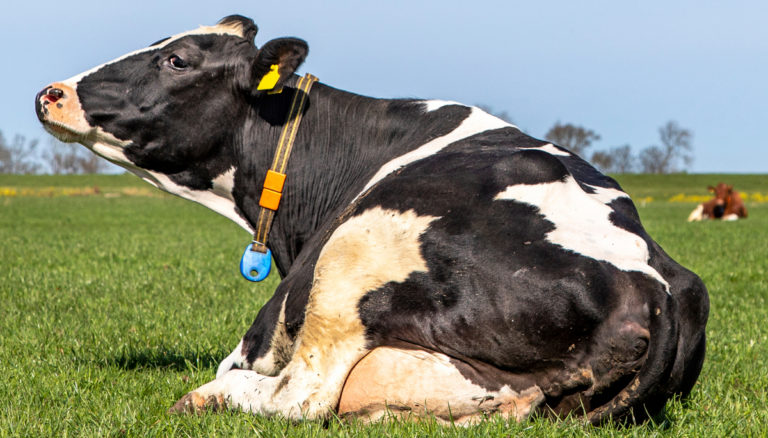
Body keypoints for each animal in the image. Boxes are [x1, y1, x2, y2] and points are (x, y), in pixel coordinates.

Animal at [35, 15, 708, 425]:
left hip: (357, 252)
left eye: (176, 60)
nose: (51, 93)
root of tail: (653, 292)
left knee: (297, 397)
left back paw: (209, 396)